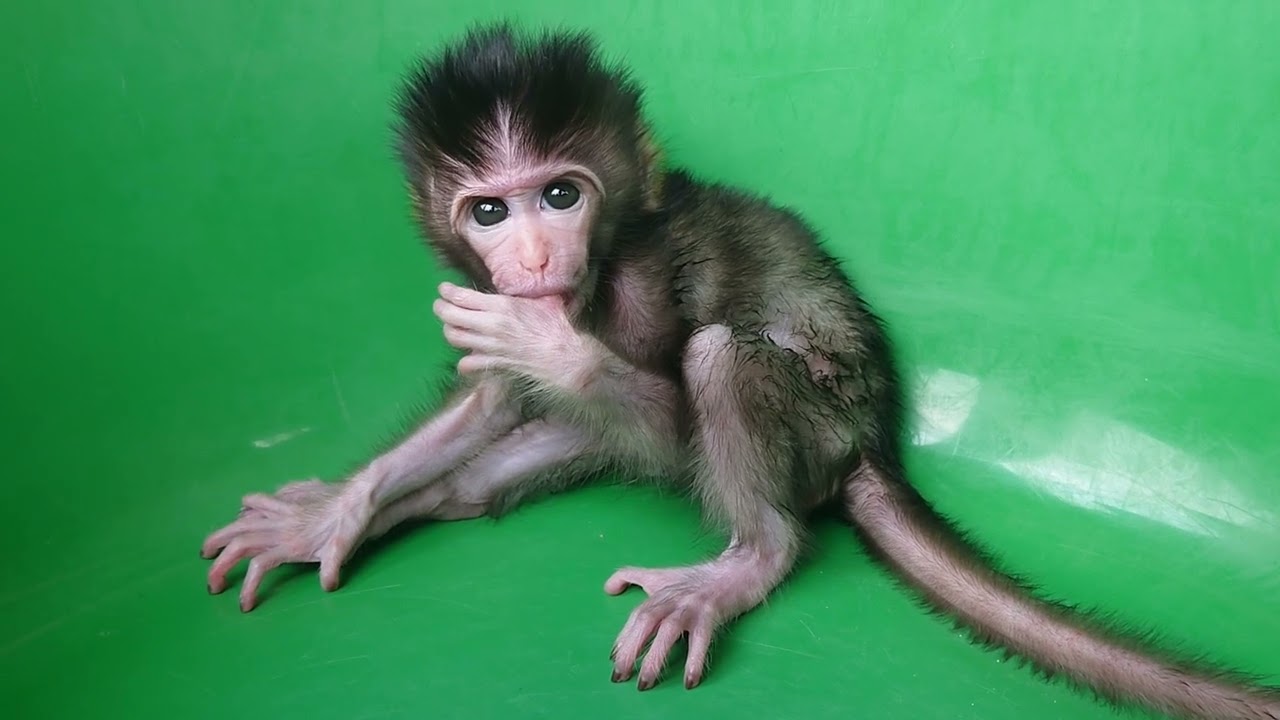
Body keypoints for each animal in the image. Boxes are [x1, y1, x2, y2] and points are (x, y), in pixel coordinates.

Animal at [199, 23, 1280, 720]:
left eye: (560, 195)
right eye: (490, 211)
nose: (535, 260)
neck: (597, 271)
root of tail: (874, 440)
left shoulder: (643, 278)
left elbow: (665, 389)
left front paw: (552, 350)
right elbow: (489, 401)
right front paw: (333, 511)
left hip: (820, 426)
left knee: (718, 358)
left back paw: (745, 561)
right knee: (480, 479)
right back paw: (409, 505)